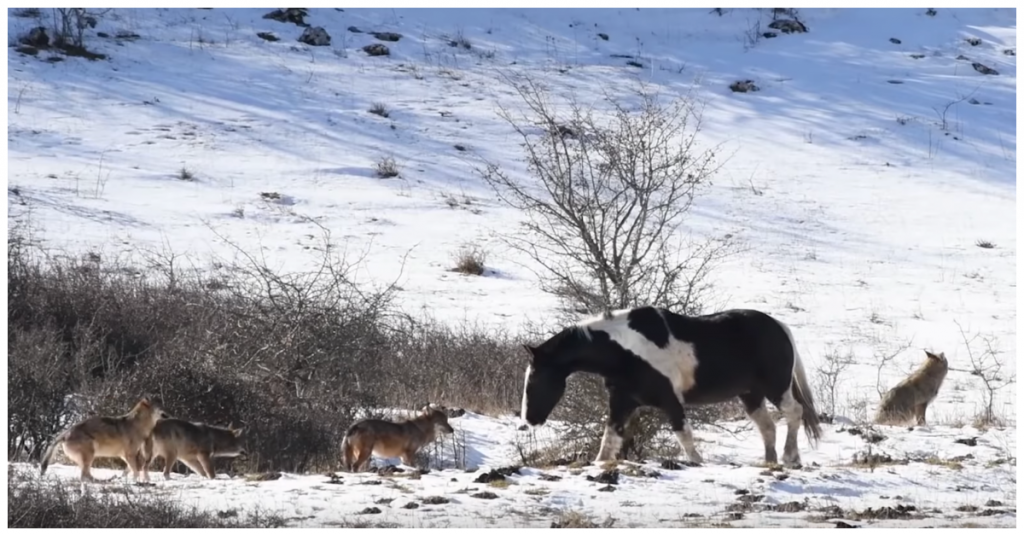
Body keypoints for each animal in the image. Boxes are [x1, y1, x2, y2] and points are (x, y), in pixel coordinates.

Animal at [39, 398, 168, 482]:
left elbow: (129, 470)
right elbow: (135, 471)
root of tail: (65, 433)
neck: (138, 425)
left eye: (164, 405)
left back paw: (107, 480)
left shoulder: (125, 456)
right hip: (90, 454)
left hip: (88, 458)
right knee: (84, 476)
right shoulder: (130, 454)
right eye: (160, 407)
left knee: (87, 475)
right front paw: (136, 482)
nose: (168, 413)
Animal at [519, 306, 822, 468]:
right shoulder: (622, 400)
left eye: (534, 380)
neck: (625, 350)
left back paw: (791, 457)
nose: (528, 420)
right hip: (750, 394)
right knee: (768, 426)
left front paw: (697, 462)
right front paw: (599, 466)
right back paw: (770, 461)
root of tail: (781, 327)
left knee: (794, 413)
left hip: (776, 387)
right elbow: (610, 439)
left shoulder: (669, 399)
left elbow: (683, 434)